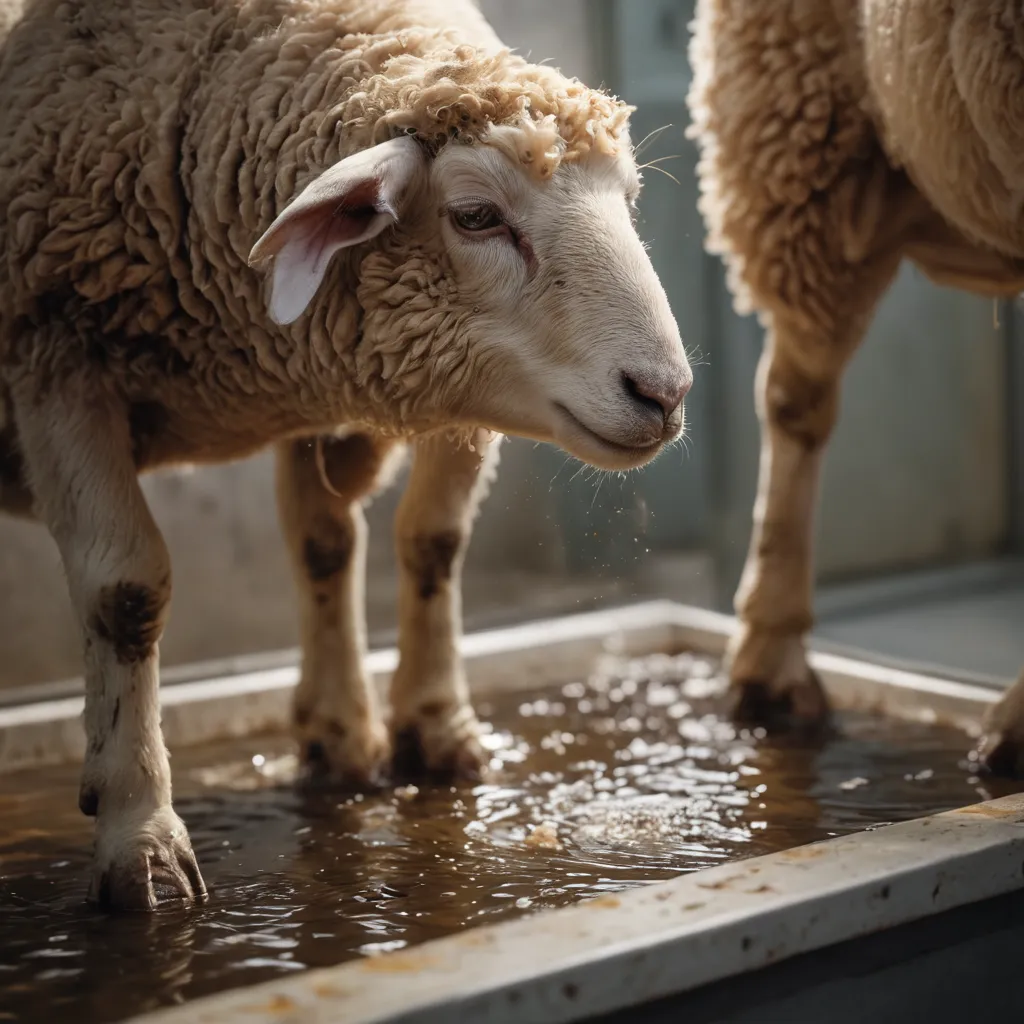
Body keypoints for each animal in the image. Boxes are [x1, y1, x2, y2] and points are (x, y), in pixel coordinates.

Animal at [0, 0, 693, 910]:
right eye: (476, 216)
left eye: (630, 199)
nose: (664, 393)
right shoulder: (54, 353)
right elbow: (125, 593)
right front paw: (140, 836)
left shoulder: (420, 380)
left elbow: (403, 541)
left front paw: (410, 730)